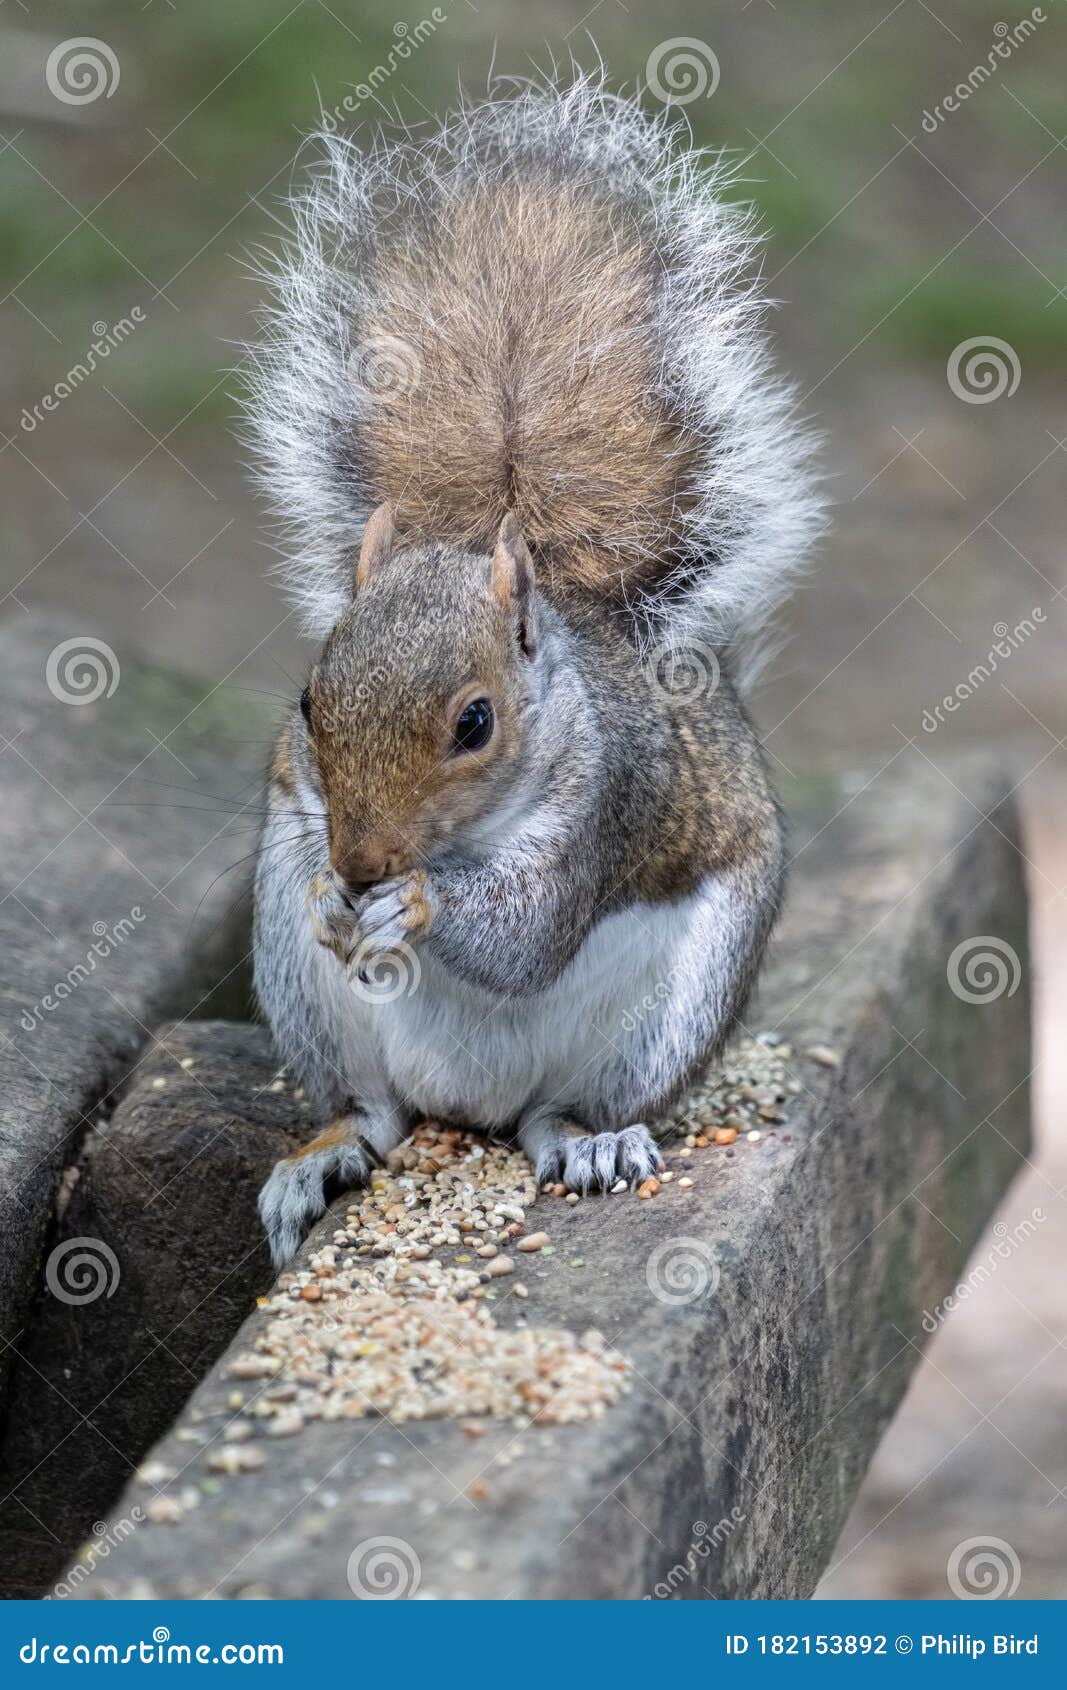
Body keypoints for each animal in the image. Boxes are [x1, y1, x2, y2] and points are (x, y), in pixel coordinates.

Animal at [246, 75, 823, 1266]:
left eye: (475, 724)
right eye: (307, 702)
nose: (359, 864)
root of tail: (465, 1105)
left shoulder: (604, 806)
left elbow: (522, 934)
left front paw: (415, 901)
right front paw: (339, 897)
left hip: (662, 1022)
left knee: (558, 1110)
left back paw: (589, 1142)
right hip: (301, 989)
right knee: (372, 1109)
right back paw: (324, 1152)